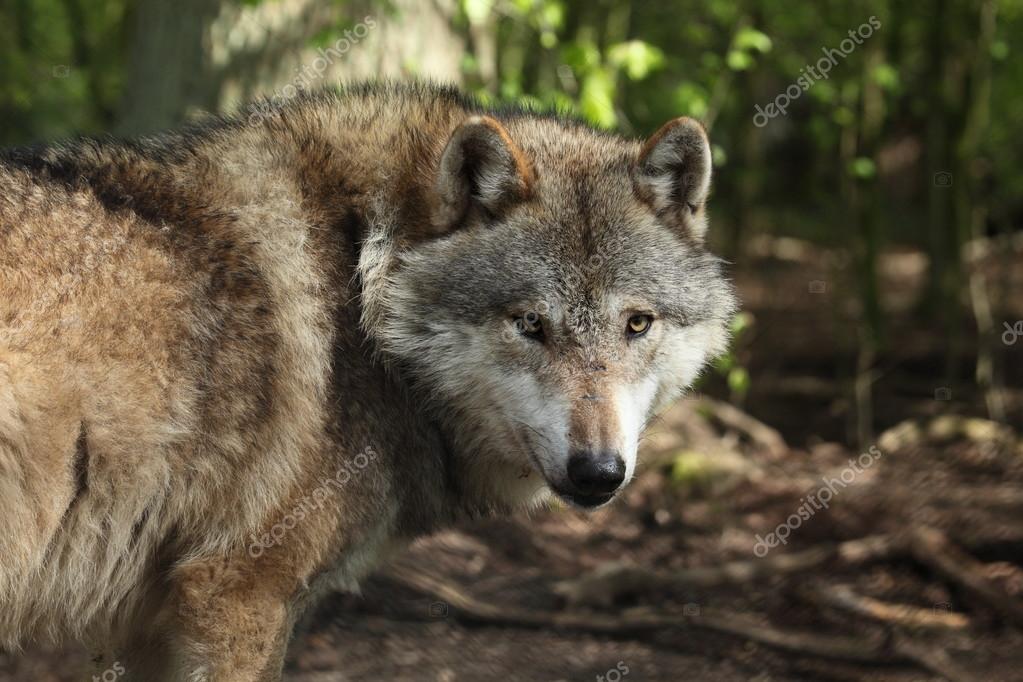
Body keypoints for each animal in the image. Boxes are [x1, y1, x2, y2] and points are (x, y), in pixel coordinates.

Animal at [0, 82, 735, 680]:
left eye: (636, 324)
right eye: (530, 323)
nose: (598, 471)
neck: (365, 284)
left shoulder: (147, 621)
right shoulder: (238, 592)